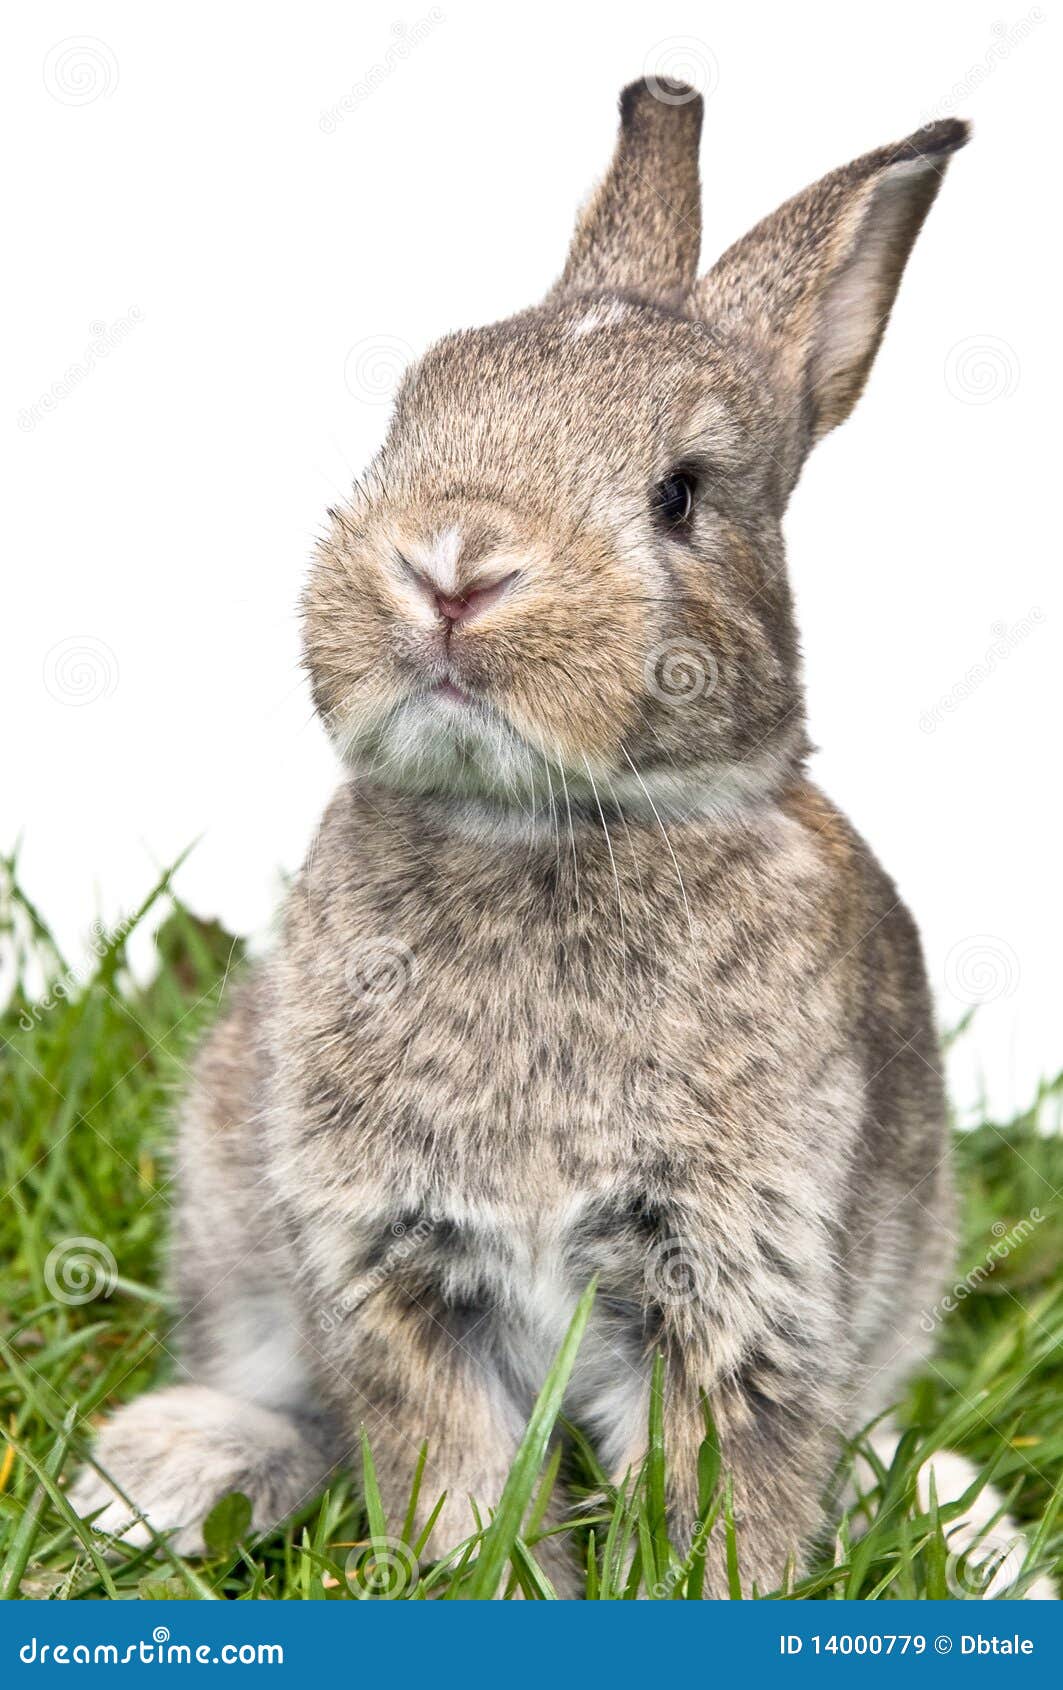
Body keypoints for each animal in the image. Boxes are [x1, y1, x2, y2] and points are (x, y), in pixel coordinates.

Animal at [71, 77, 1048, 1599]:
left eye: (680, 493)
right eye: (408, 414)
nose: (453, 563)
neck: (540, 826)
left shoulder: (733, 1286)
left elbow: (720, 1501)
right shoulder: (390, 1273)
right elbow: (457, 1480)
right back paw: (165, 1471)